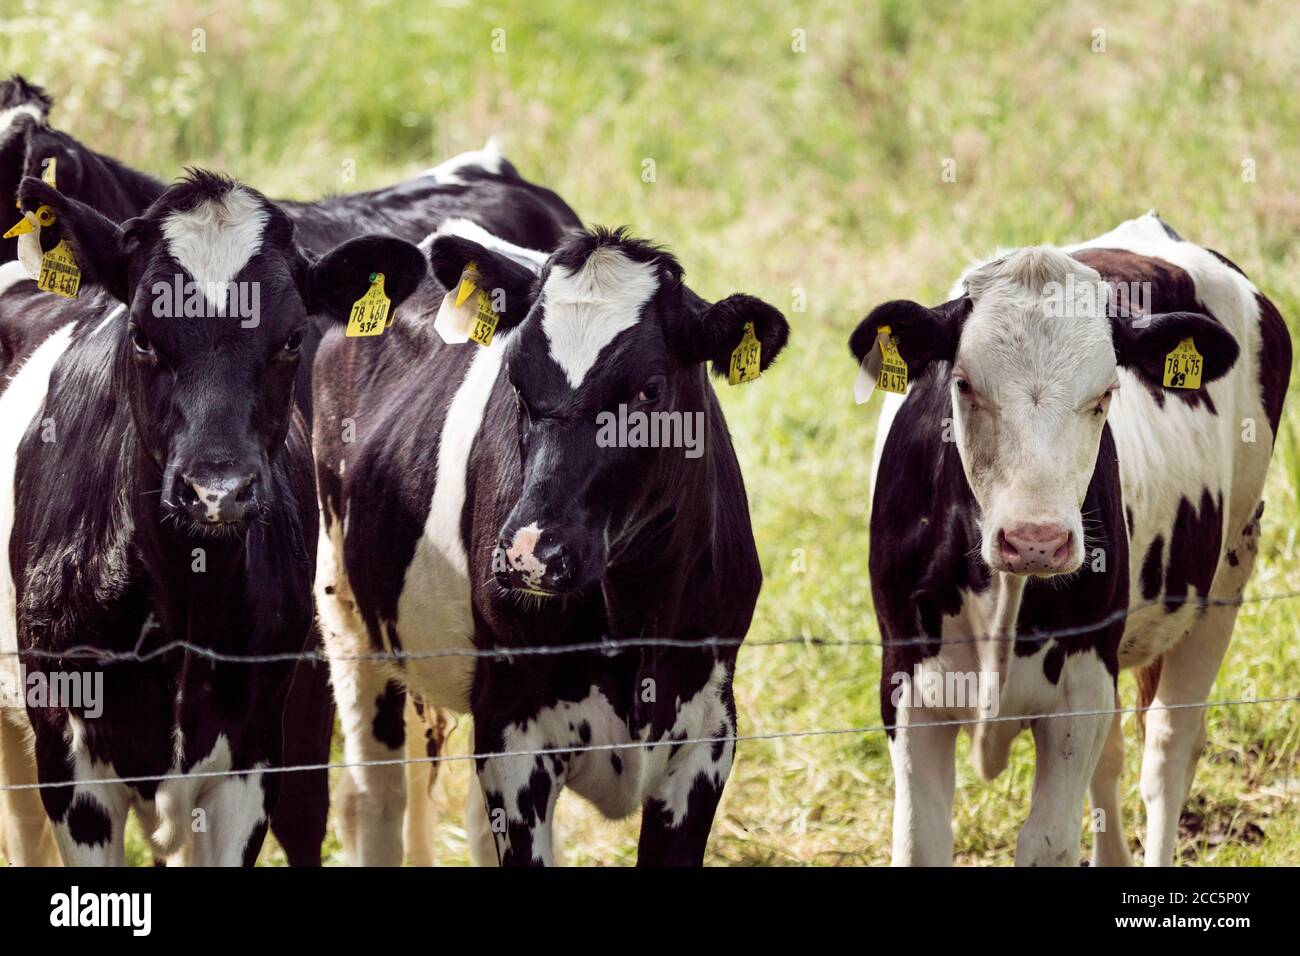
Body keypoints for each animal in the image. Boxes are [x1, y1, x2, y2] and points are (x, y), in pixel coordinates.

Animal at [311, 222, 790, 865]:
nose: (529, 555)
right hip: (349, 622)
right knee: (376, 797)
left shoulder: (709, 735)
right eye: (515, 378)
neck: (633, 615)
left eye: (650, 389)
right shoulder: (514, 738)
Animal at [851, 211, 1290, 866]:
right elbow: (920, 841)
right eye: (964, 384)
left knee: (1168, 751)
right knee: (1113, 760)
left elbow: (1048, 842)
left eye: (1105, 393)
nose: (1035, 540)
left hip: (1228, 571)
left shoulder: (1079, 690)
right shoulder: (909, 686)